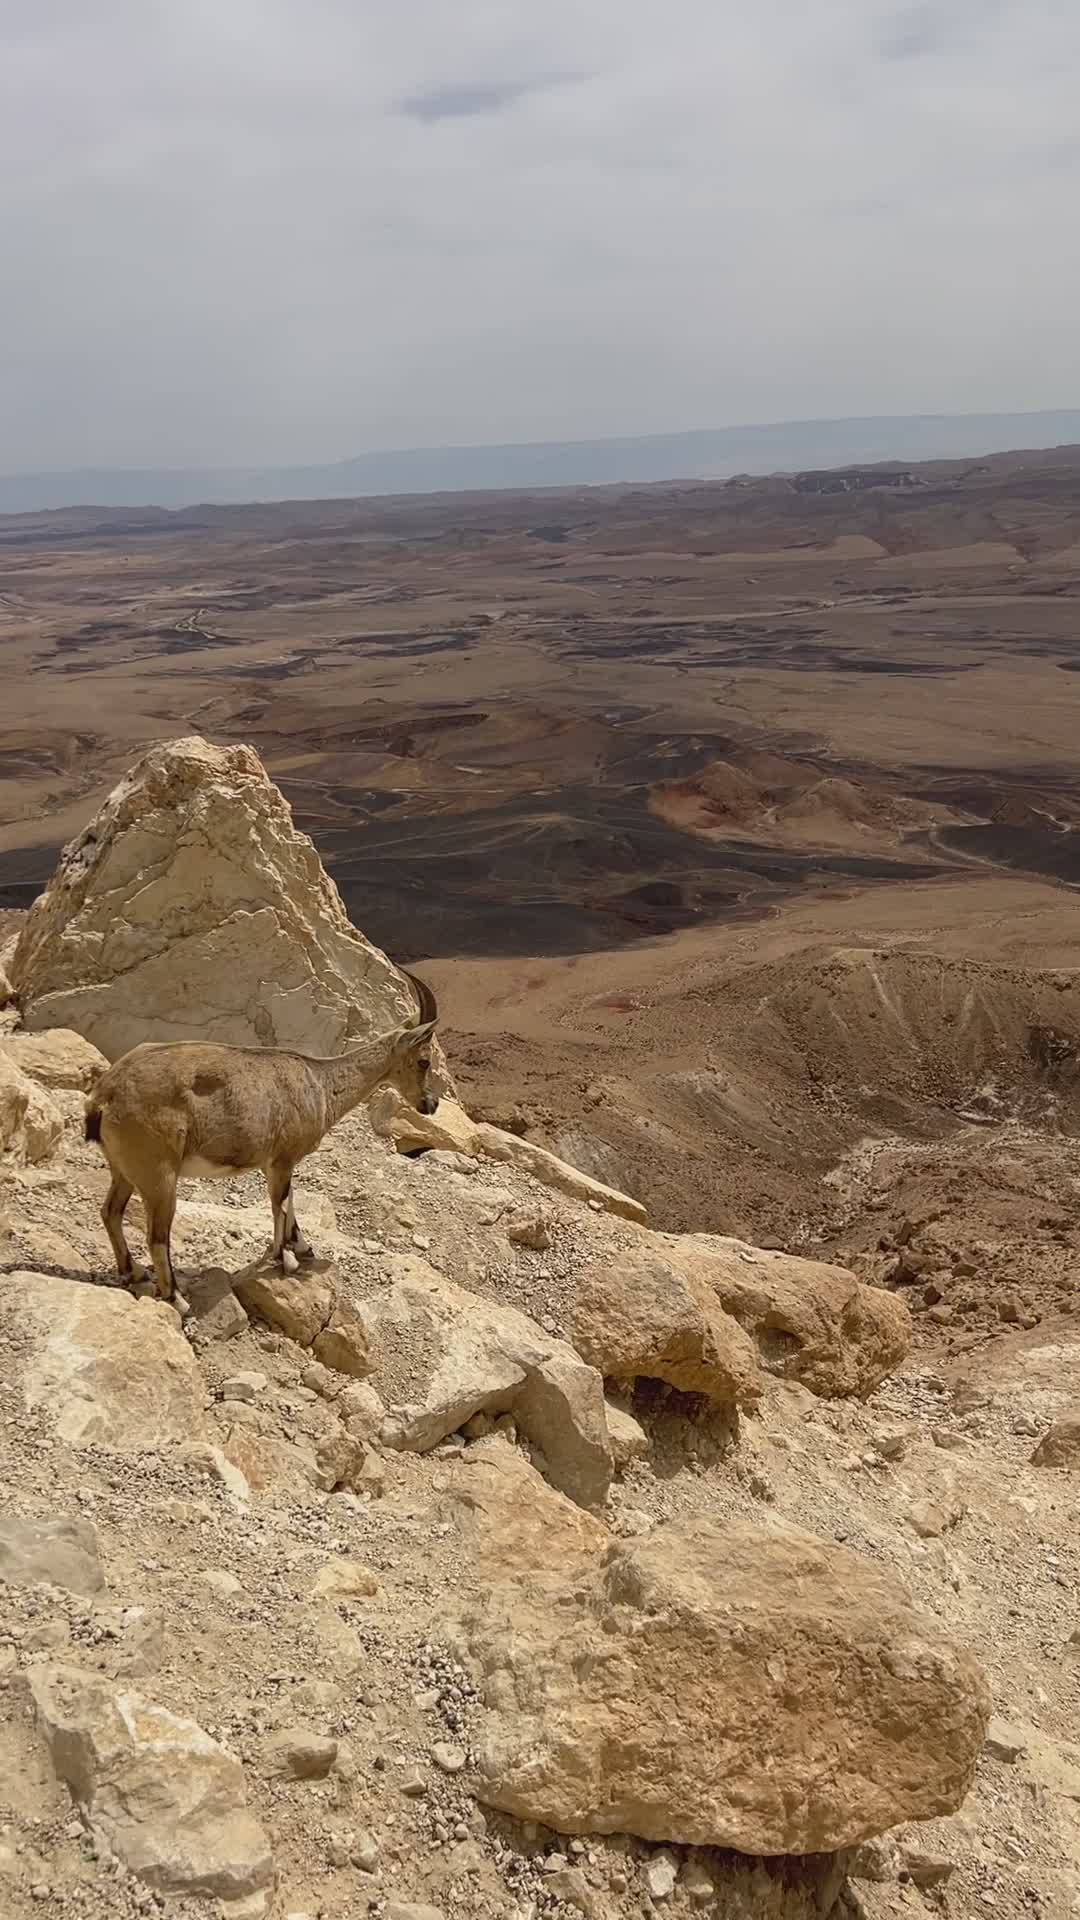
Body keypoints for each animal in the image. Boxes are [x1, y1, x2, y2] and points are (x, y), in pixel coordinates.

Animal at [84, 971, 439, 1309]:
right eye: (424, 1060)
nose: (430, 1104)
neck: (321, 1085)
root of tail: (105, 1095)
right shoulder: (282, 1158)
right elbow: (278, 1203)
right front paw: (284, 1259)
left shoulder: (276, 1163)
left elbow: (289, 1199)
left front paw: (302, 1248)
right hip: (159, 1173)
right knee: (157, 1237)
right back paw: (176, 1299)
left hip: (124, 1168)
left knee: (110, 1212)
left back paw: (133, 1272)